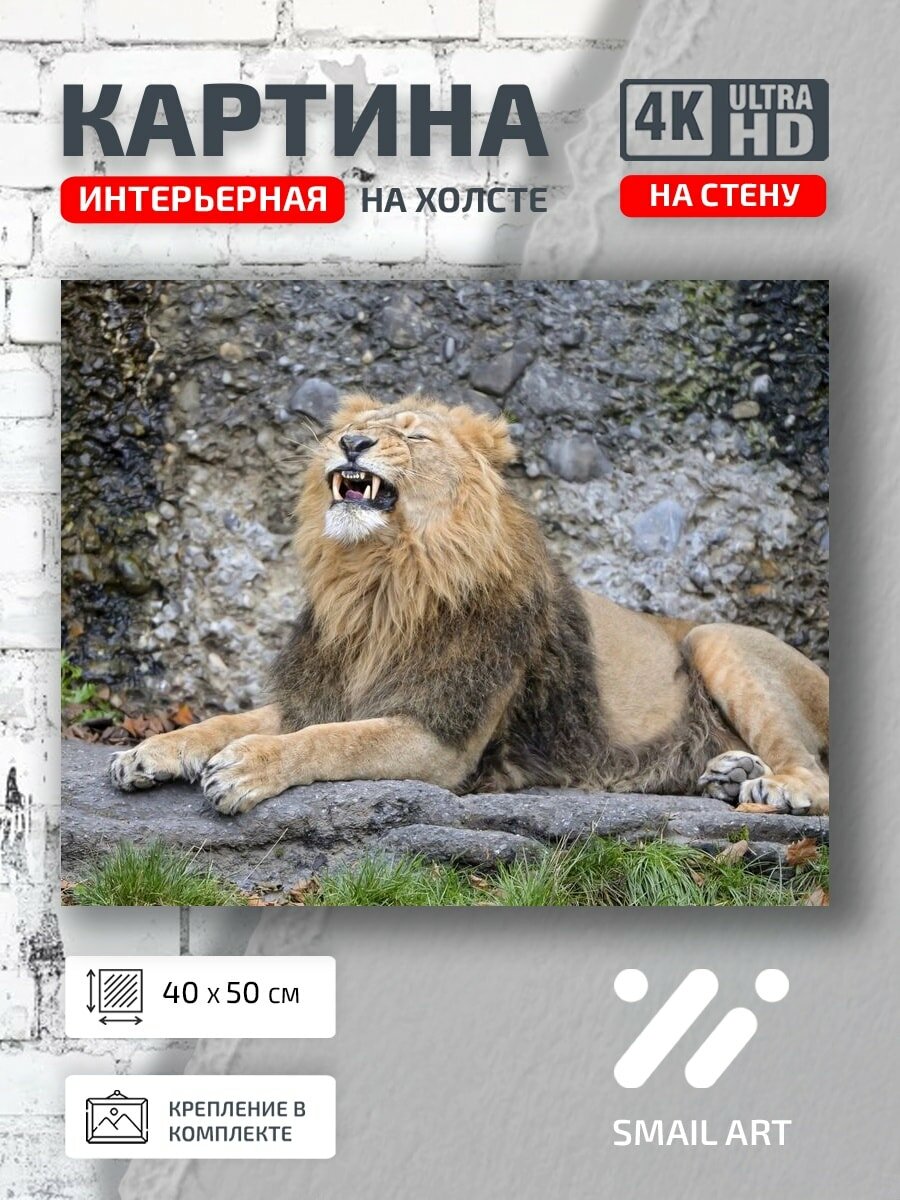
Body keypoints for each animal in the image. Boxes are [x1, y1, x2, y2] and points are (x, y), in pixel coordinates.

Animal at [109, 395, 829, 818]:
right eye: (353, 429)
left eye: (415, 437)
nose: (351, 446)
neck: (379, 582)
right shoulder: (323, 690)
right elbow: (229, 720)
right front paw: (151, 751)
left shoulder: (442, 737)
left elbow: (332, 740)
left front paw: (247, 766)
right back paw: (729, 772)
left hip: (714, 637)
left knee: (817, 773)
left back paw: (775, 785)